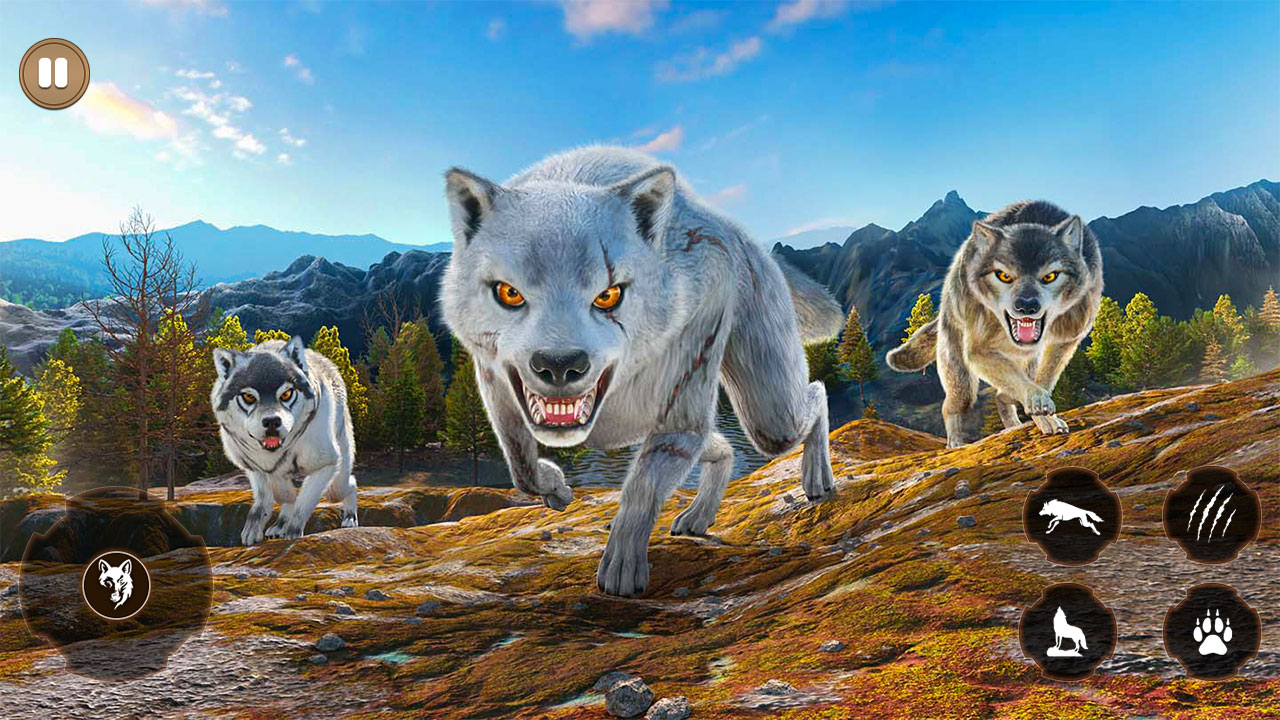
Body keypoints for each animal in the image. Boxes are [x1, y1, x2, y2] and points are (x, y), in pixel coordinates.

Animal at [211, 336, 359, 544]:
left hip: (335, 487)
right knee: (287, 494)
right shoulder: (253, 467)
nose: (272, 421)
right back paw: (278, 526)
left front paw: (292, 532)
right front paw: (254, 530)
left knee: (350, 483)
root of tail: (323, 359)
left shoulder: (326, 464)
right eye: (249, 397)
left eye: (286, 394)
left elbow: (303, 503)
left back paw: (349, 519)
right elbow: (269, 498)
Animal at [440, 146, 844, 596]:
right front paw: (557, 489)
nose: (560, 365)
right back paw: (697, 518)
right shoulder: (496, 388)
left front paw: (621, 571)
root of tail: (738, 231)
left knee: (815, 392)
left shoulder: (681, 409)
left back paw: (817, 480)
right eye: (509, 293)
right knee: (723, 446)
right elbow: (521, 466)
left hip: (769, 418)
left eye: (608, 295)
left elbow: (640, 488)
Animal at [886, 200, 1103, 447]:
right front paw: (1038, 402)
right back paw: (956, 444)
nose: (1026, 307)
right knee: (950, 406)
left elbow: (1043, 380)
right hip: (963, 384)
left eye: (1050, 276)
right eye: (1003, 276)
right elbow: (1023, 383)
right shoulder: (979, 349)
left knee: (1003, 395)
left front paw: (1045, 415)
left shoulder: (1067, 339)